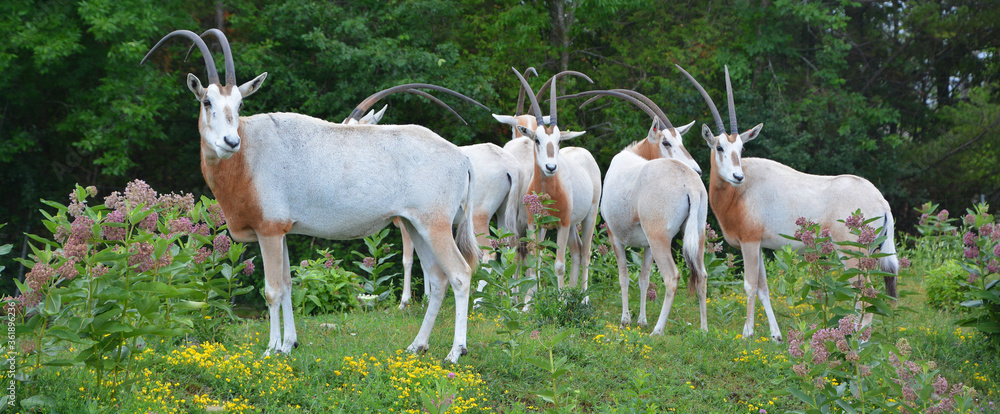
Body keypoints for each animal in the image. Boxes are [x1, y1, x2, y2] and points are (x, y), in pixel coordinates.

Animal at [142, 29, 484, 363]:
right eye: (207, 102)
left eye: (240, 105)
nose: (230, 141)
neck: (251, 151)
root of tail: (461, 157)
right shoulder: (280, 232)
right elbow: (288, 284)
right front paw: (288, 344)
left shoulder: (268, 232)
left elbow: (272, 290)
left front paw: (271, 349)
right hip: (415, 226)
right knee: (438, 280)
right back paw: (417, 346)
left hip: (434, 226)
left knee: (459, 274)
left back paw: (455, 352)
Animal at [493, 68, 602, 308]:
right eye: (537, 140)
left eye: (559, 141)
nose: (551, 167)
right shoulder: (535, 223)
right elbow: (534, 257)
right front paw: (528, 305)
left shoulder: (561, 224)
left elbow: (558, 265)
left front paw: (557, 303)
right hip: (571, 224)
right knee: (576, 250)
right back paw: (572, 294)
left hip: (589, 216)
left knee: (586, 251)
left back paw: (583, 298)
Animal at [559, 88, 708, 334]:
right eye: (667, 142)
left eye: (680, 141)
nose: (698, 169)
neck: (635, 155)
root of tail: (690, 184)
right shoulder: (646, 246)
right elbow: (643, 278)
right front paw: (641, 320)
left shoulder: (615, 236)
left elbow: (624, 276)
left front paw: (626, 320)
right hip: (695, 234)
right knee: (702, 275)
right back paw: (703, 330)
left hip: (660, 238)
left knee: (672, 277)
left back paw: (658, 331)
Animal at [677, 65, 900, 341]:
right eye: (719, 147)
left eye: (741, 148)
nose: (737, 176)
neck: (741, 192)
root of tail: (882, 201)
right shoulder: (759, 245)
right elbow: (763, 287)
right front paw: (776, 336)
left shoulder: (749, 243)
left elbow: (749, 285)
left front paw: (747, 333)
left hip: (851, 252)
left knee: (865, 292)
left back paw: (857, 343)